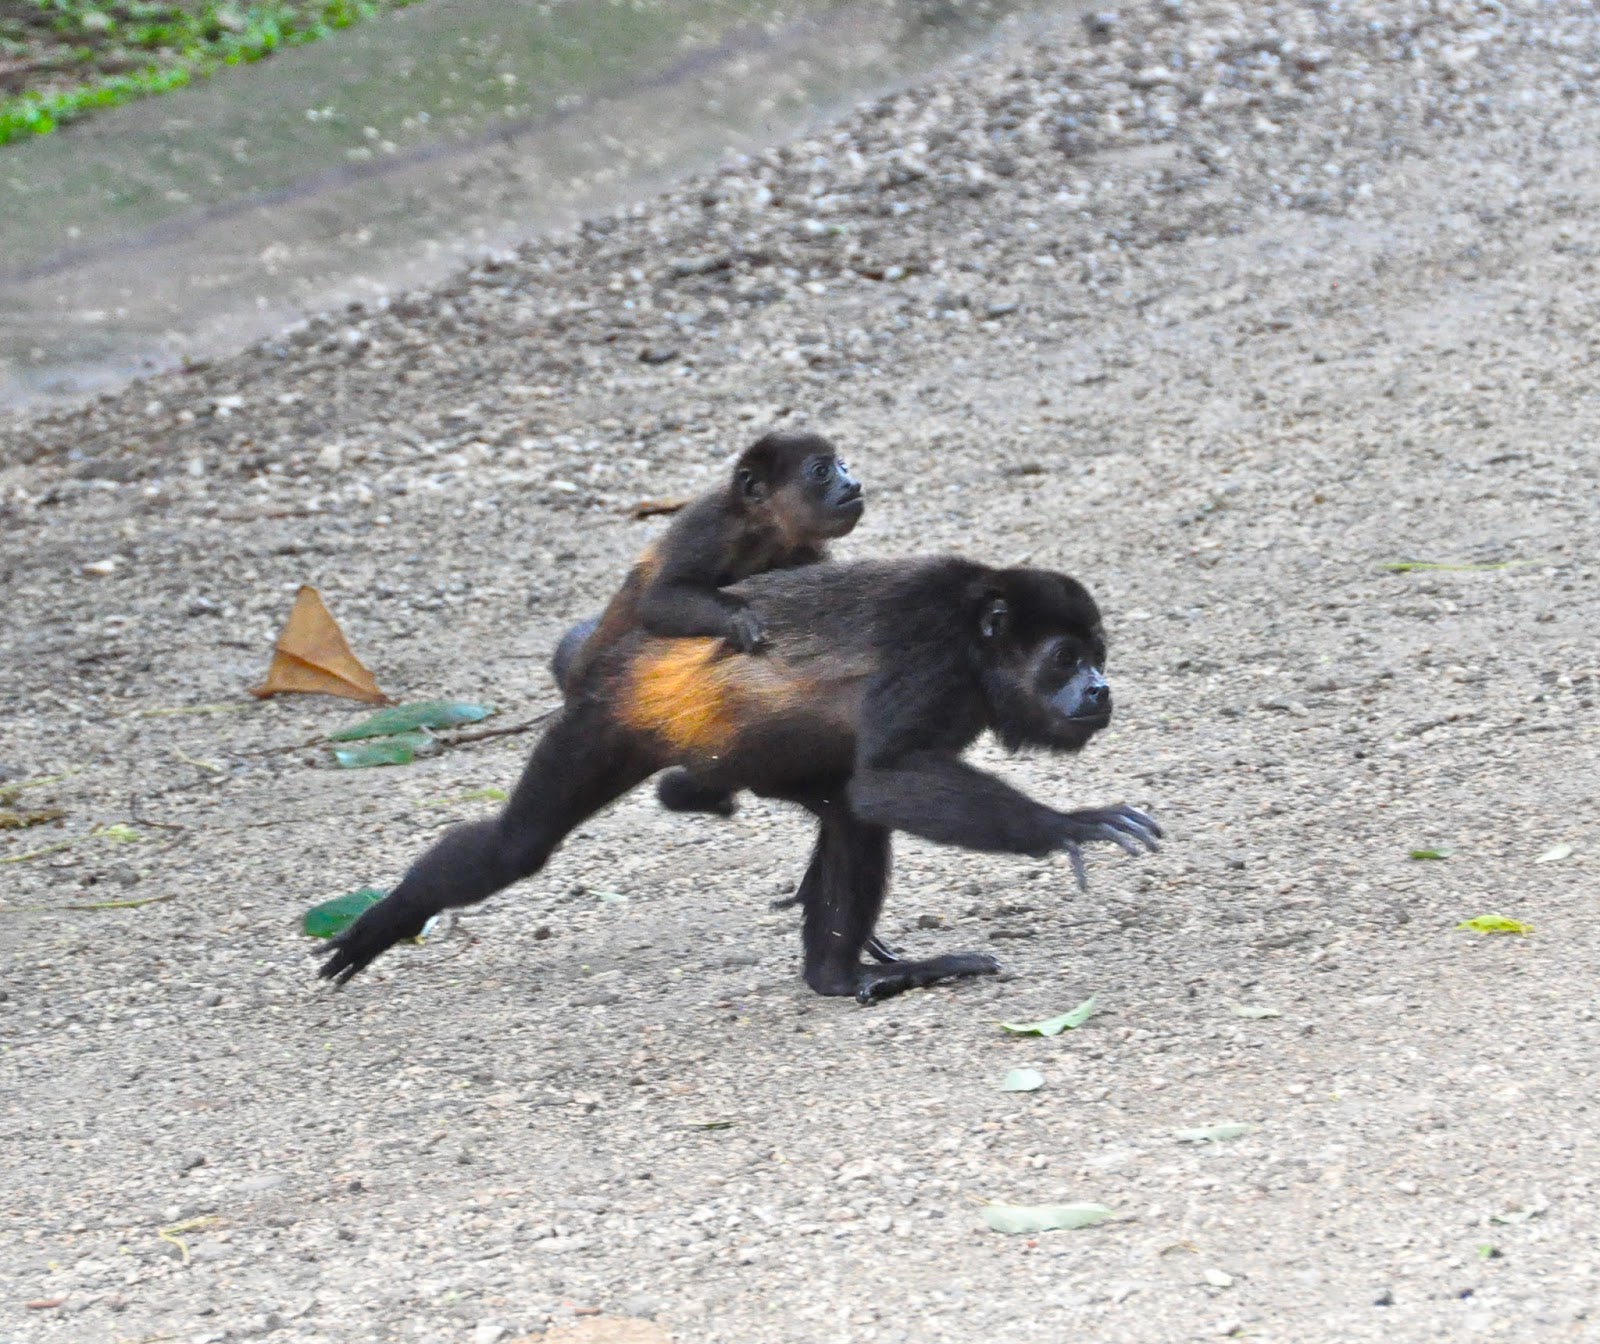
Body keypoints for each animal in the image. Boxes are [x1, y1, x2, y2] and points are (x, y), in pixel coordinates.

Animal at [319, 556, 1161, 1004]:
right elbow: (886, 780)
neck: (975, 648)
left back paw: (836, 971)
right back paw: (396, 913)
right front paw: (1066, 824)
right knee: (516, 845)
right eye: (1063, 658)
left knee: (843, 812)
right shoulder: (929, 660)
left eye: (1097, 656)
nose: (1099, 689)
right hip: (606, 720)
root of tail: (612, 658)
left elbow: (870, 795)